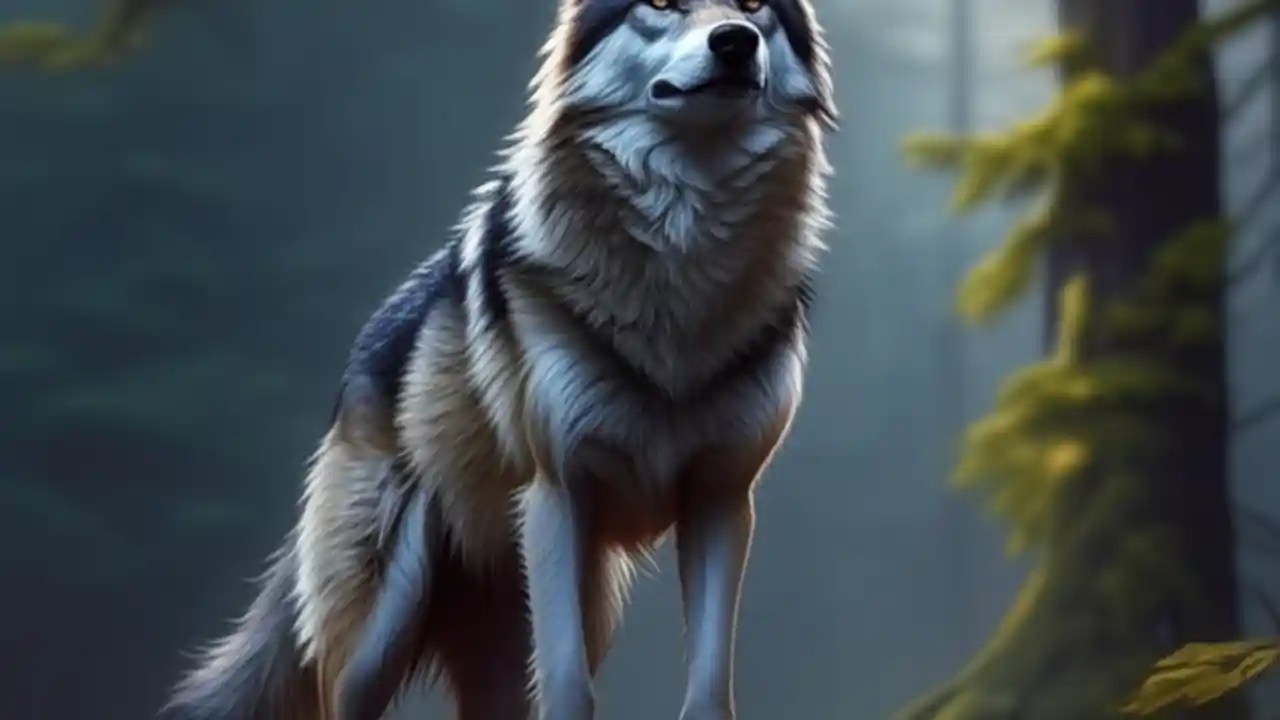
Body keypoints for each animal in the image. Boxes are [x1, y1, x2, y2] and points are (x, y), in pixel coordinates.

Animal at [167, 1, 835, 718]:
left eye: (754, 9)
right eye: (659, 7)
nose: (734, 42)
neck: (680, 267)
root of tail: (360, 361)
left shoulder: (721, 497)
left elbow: (709, 689)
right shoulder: (558, 492)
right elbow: (570, 688)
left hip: (548, 628)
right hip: (385, 622)